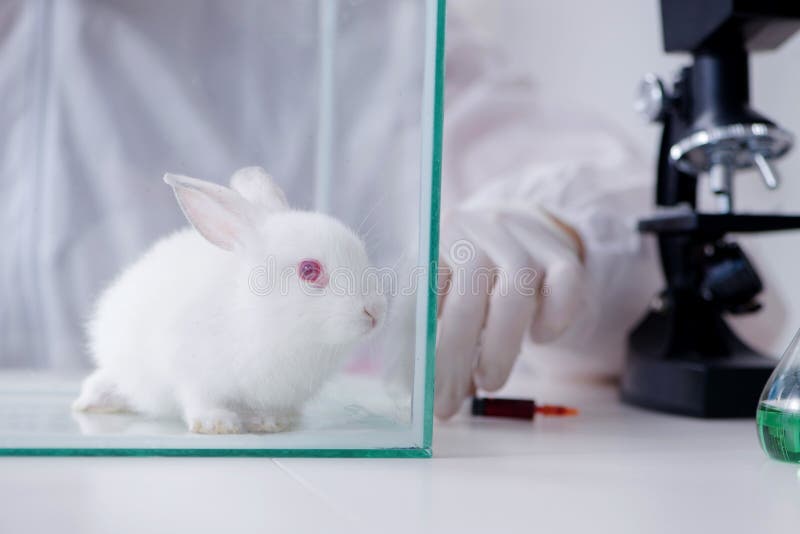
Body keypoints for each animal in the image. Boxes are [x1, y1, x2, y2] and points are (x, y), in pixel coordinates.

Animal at [73, 166, 387, 434]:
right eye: (309, 270)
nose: (375, 311)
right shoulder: (192, 370)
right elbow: (199, 400)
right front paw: (217, 424)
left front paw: (273, 422)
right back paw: (88, 403)